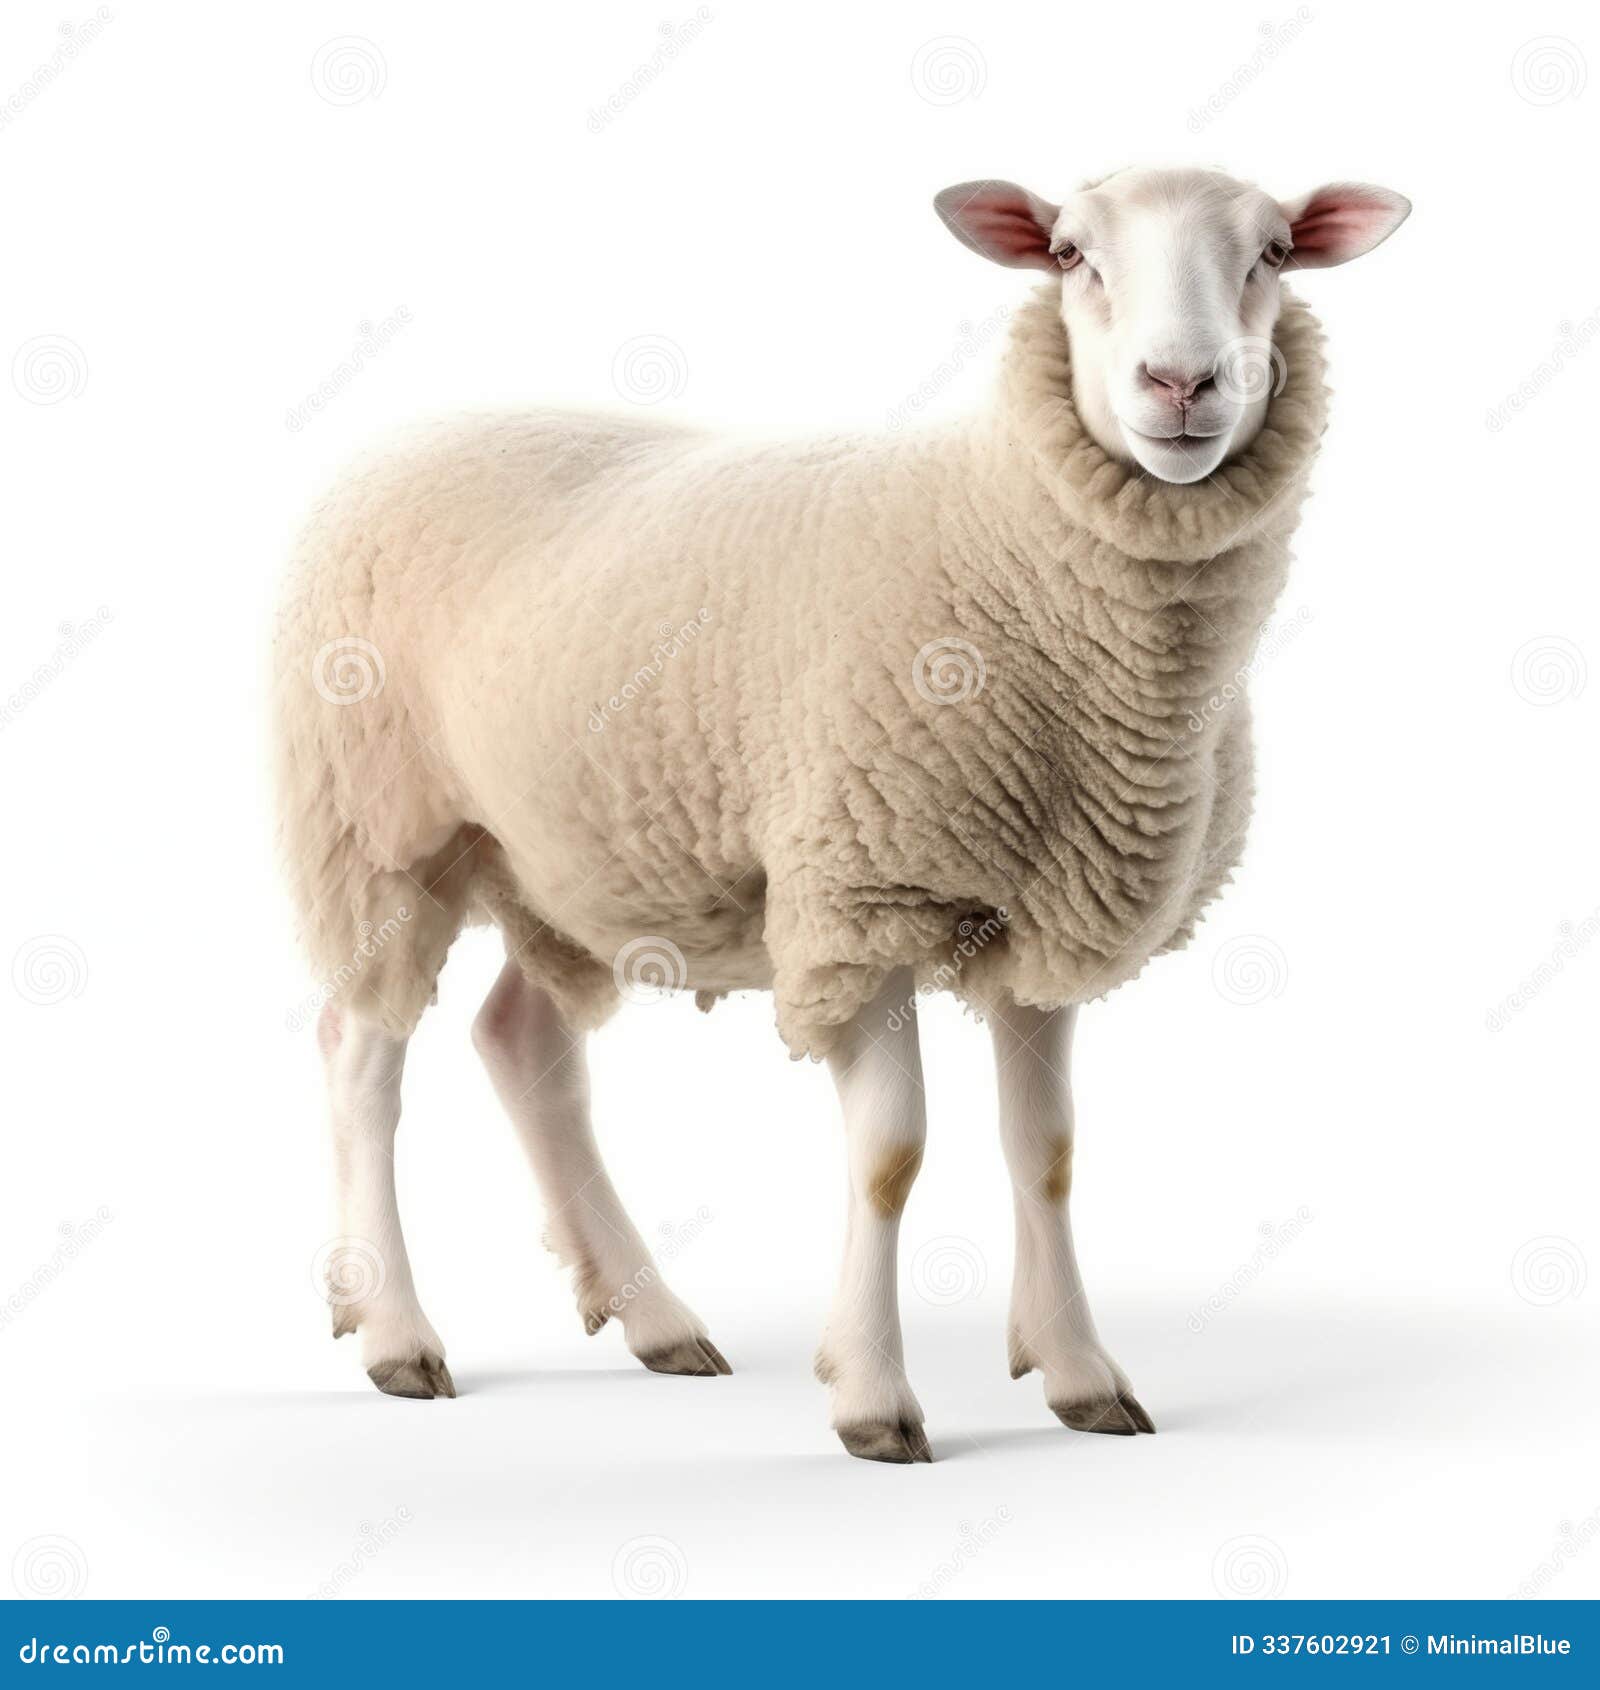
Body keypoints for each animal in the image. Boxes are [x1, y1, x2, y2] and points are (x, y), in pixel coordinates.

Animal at [276, 166, 1409, 1460]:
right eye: (1071, 254)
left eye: (1271, 252)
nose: (1180, 384)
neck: (1011, 557)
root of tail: (408, 433)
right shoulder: (862, 895)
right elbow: (890, 1157)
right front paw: (873, 1397)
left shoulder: (1050, 907)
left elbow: (1048, 1153)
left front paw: (1078, 1374)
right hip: (381, 829)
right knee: (363, 1056)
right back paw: (396, 1333)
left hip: (563, 852)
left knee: (522, 1044)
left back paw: (655, 1318)